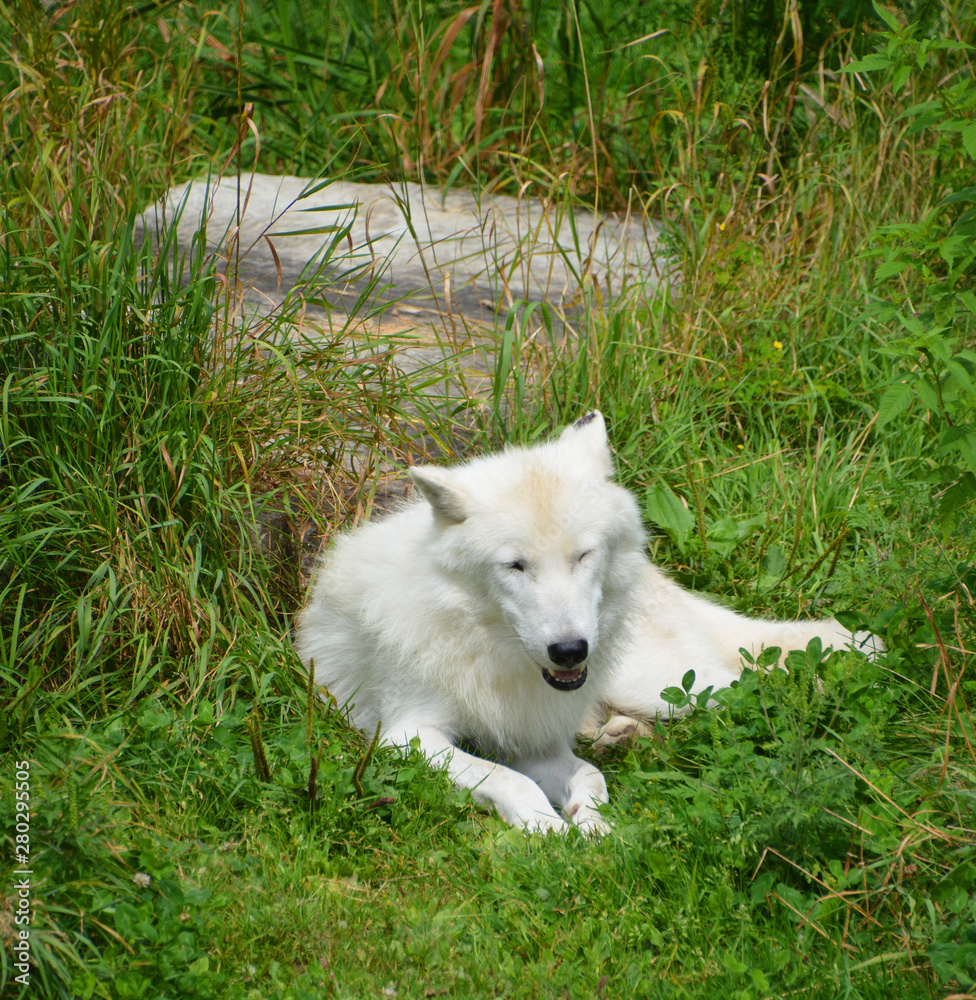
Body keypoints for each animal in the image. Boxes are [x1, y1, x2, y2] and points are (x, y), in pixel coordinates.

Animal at [294, 412, 879, 834]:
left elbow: (587, 777)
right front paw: (547, 827)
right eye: (516, 565)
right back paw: (623, 737)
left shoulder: (532, 736)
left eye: (582, 555)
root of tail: (661, 582)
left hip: (675, 688)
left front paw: (591, 822)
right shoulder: (406, 734)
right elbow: (512, 779)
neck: (488, 649)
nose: (570, 651)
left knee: (762, 685)